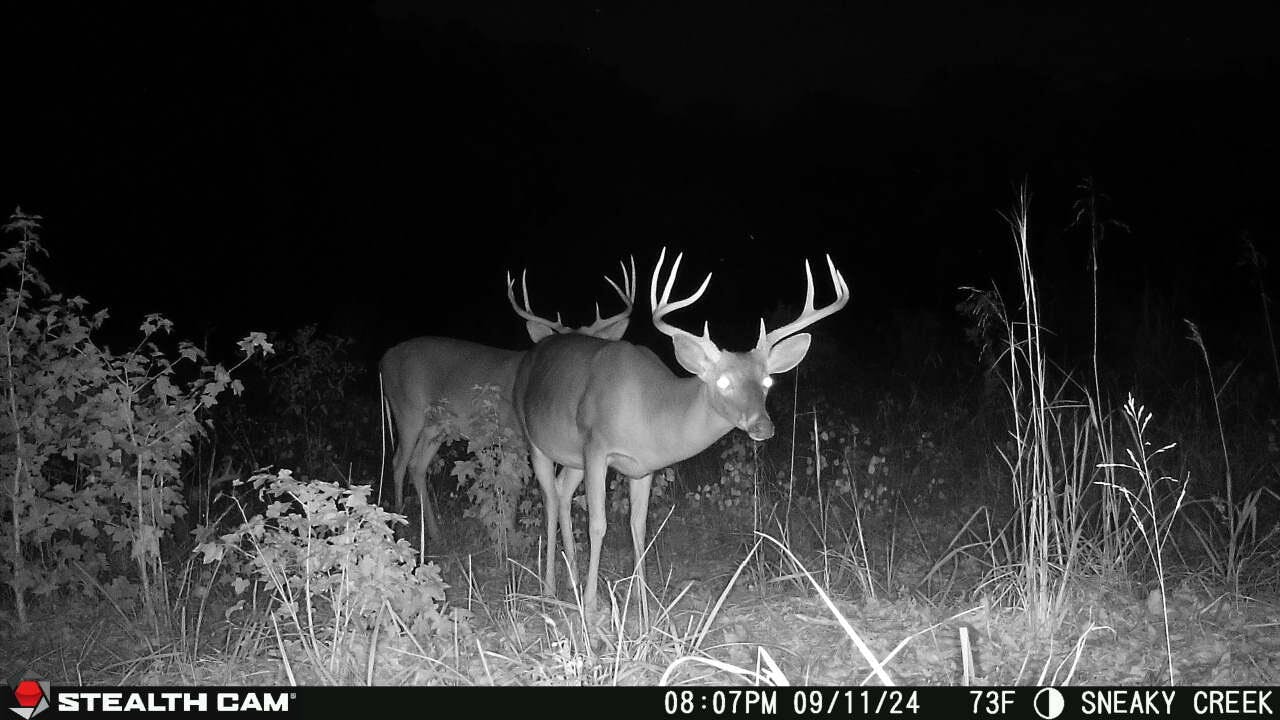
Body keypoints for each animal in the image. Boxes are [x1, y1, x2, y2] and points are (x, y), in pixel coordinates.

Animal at [379, 259, 635, 541]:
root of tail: (384, 360)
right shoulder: (514, 435)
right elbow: (511, 483)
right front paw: (510, 534)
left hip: (437, 426)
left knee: (417, 465)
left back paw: (435, 533)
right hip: (407, 410)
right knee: (398, 462)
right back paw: (397, 525)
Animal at [510, 248, 849, 613]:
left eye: (768, 381)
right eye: (723, 382)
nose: (763, 426)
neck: (649, 406)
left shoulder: (642, 467)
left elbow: (639, 526)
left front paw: (643, 601)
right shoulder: (596, 446)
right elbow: (599, 524)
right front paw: (591, 605)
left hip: (573, 458)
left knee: (561, 490)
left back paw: (570, 578)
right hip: (536, 439)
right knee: (548, 497)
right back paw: (549, 588)